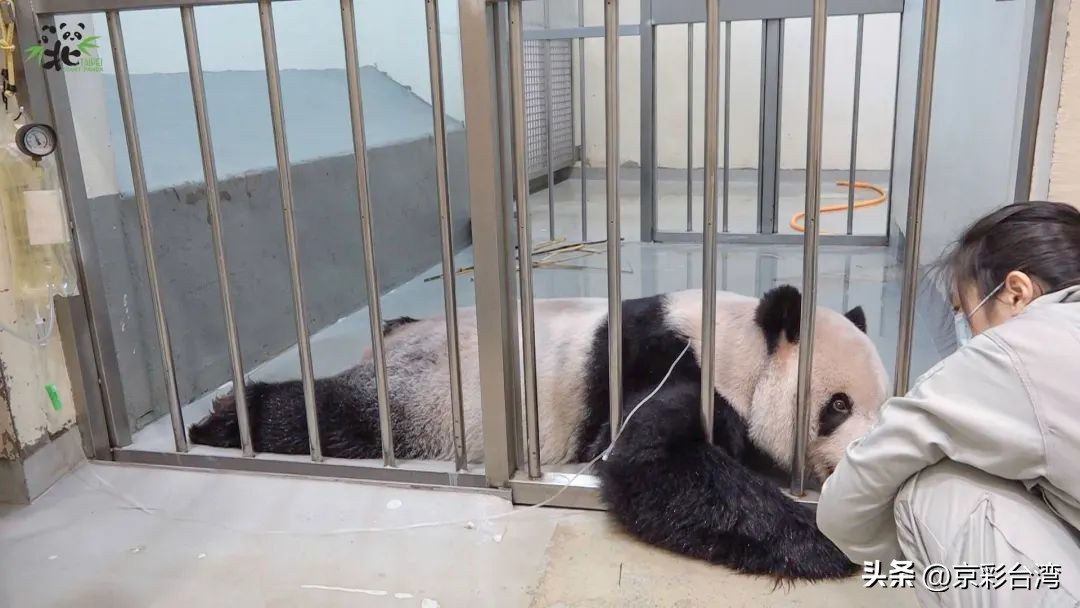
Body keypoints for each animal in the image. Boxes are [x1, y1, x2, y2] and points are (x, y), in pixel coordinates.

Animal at [189, 284, 889, 581]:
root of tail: (378, 347)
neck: (739, 341)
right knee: (344, 416)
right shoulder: (673, 364)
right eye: (837, 405)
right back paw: (227, 417)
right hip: (427, 397)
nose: (862, 460)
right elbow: (650, 462)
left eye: (886, 405)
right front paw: (827, 540)